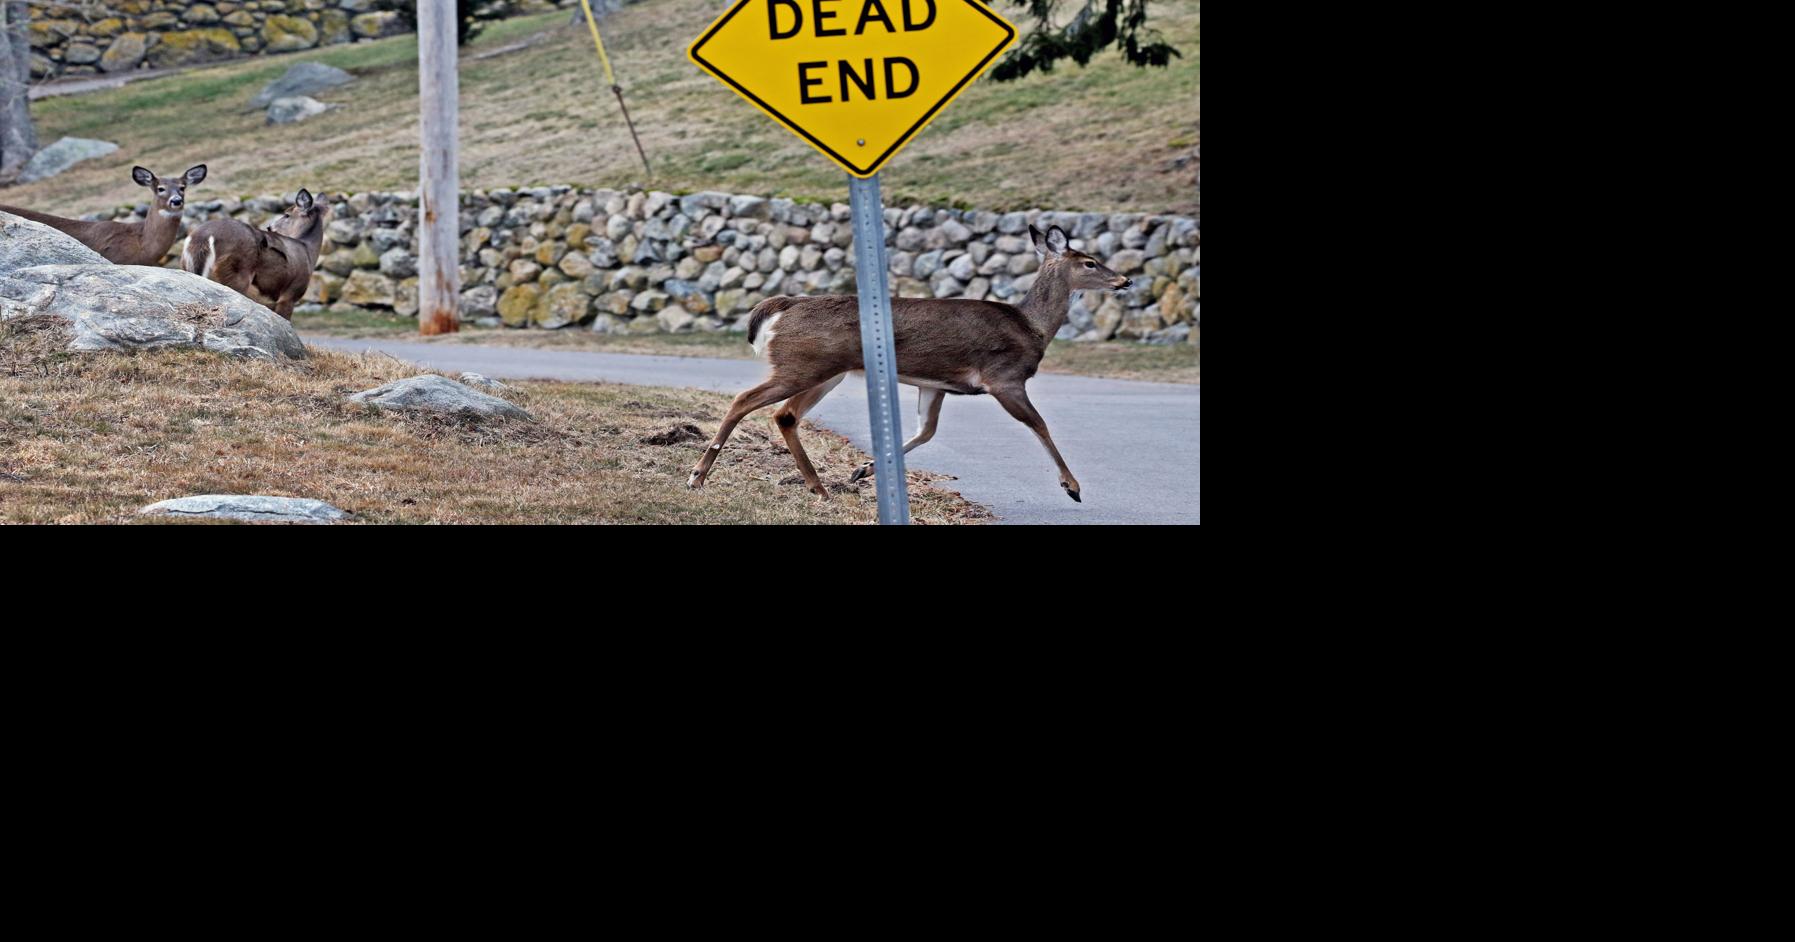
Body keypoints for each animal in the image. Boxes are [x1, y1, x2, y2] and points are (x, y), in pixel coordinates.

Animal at [181, 189, 330, 320]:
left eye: (287, 215)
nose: (270, 227)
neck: (308, 251)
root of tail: (202, 237)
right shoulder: (290, 295)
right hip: (237, 273)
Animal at [688, 225, 1133, 504]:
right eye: (1090, 262)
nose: (1126, 281)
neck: (1031, 327)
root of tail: (781, 306)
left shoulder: (935, 384)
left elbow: (926, 431)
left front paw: (864, 470)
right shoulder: (1004, 378)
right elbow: (1040, 425)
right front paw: (1072, 486)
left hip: (824, 370)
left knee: (785, 415)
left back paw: (820, 489)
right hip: (803, 364)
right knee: (745, 400)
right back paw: (697, 475)